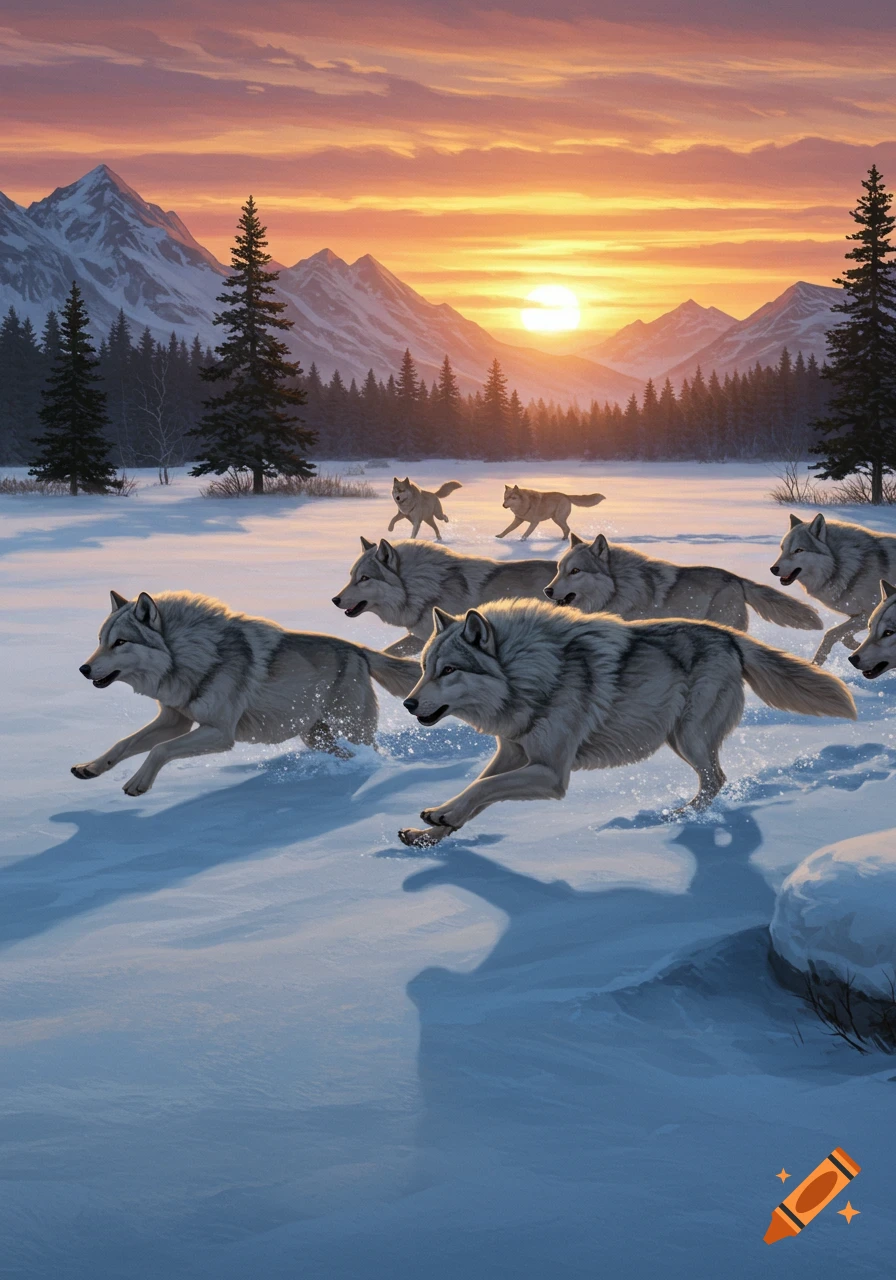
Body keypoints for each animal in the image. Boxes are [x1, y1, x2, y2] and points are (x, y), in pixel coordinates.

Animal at [72, 590, 419, 796]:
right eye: (101, 640)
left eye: (120, 642)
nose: (83, 669)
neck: (191, 657)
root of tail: (359, 649)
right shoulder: (175, 720)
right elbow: (124, 744)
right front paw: (89, 768)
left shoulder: (220, 733)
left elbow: (159, 750)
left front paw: (138, 784)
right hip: (315, 736)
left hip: (350, 728)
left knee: (373, 754)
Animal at [396, 599, 855, 848]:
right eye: (424, 668)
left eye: (449, 670)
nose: (408, 703)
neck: (531, 675)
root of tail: (730, 636)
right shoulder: (514, 754)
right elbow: (477, 790)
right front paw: (429, 832)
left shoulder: (551, 774)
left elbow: (482, 788)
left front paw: (440, 817)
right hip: (681, 740)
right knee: (715, 780)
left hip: (689, 738)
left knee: (716, 780)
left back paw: (677, 818)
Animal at [771, 513, 896, 664]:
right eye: (782, 549)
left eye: (798, 550)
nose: (773, 569)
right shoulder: (858, 616)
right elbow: (845, 638)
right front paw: (858, 646)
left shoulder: (869, 613)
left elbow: (831, 634)